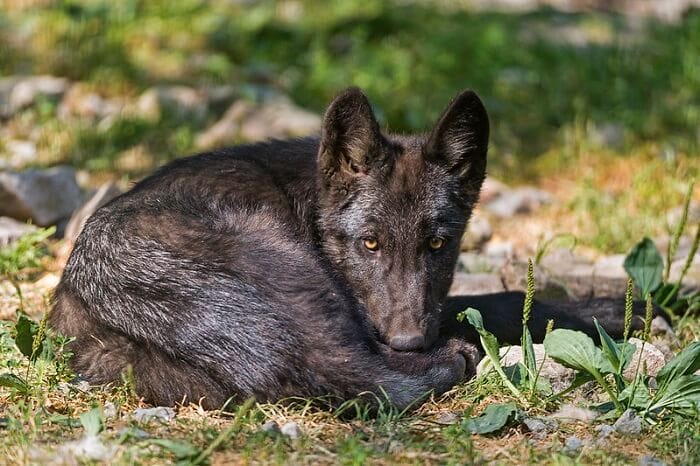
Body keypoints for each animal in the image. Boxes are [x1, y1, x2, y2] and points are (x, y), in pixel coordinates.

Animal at [49, 88, 649, 410]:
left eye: (438, 243)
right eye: (370, 242)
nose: (409, 341)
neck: (308, 199)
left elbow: (482, 301)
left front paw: (608, 308)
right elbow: (479, 307)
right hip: (304, 281)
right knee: (358, 373)